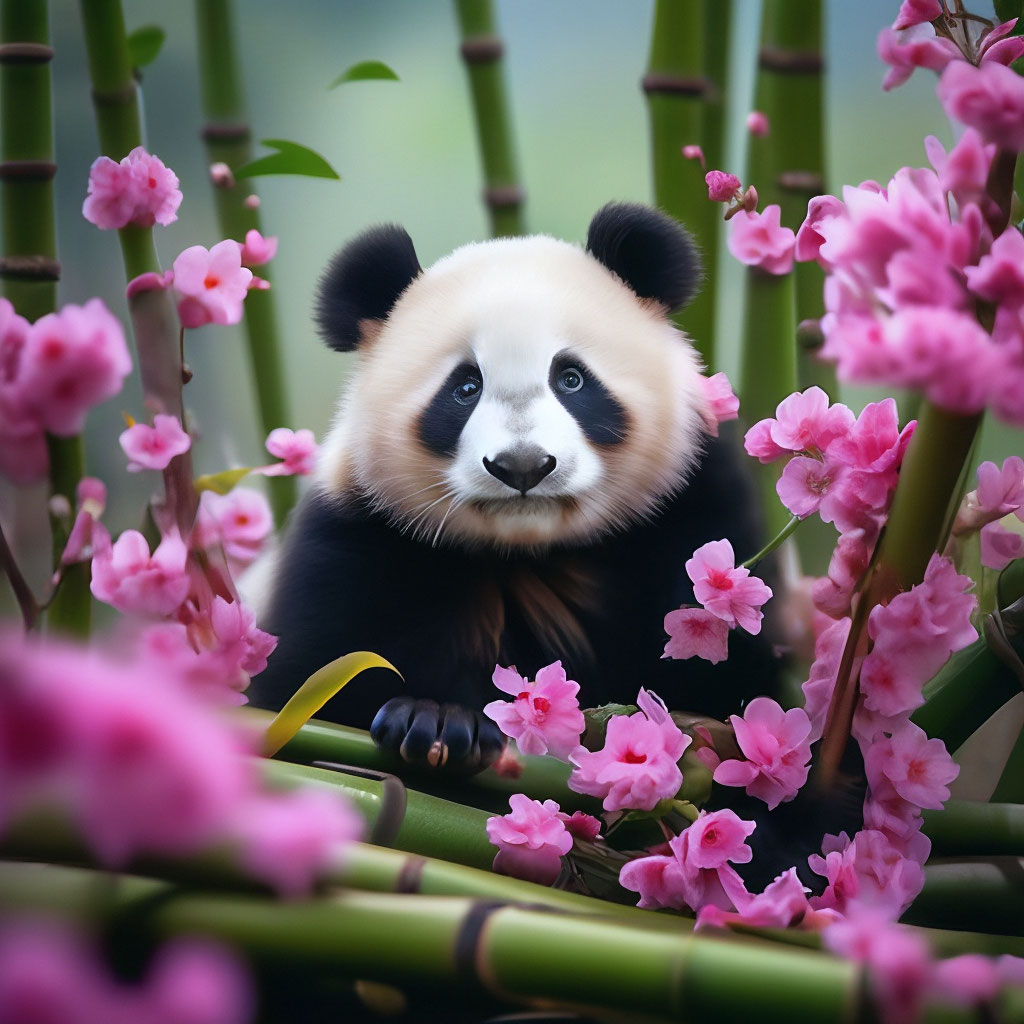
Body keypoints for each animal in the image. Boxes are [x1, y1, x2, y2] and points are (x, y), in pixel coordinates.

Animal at [248, 203, 778, 773]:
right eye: (465, 387)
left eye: (571, 378)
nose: (522, 467)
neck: (526, 556)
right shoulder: (350, 544)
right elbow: (309, 699)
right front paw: (435, 719)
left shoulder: (694, 516)